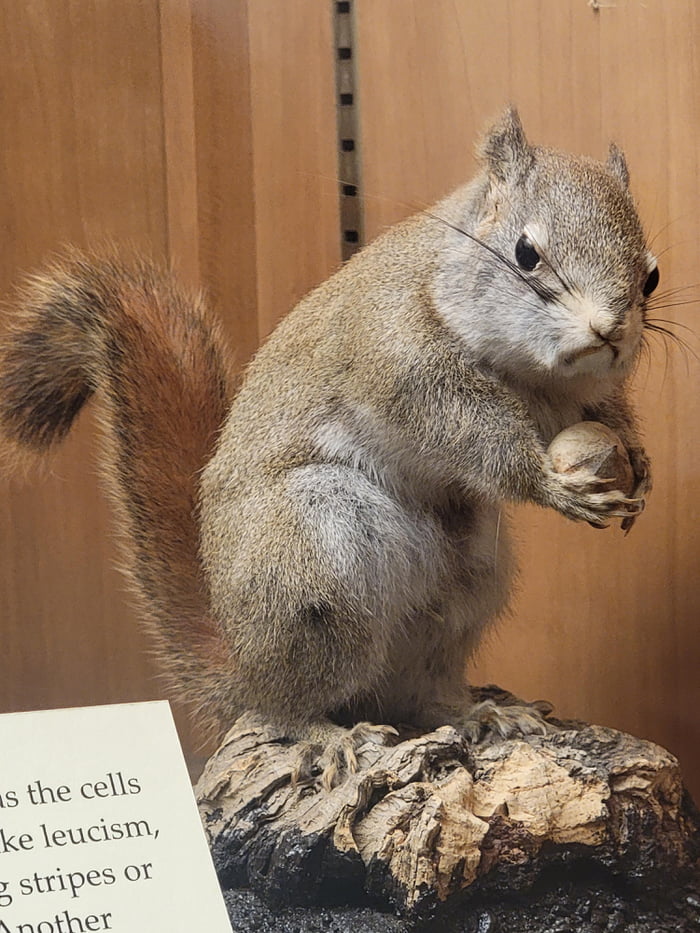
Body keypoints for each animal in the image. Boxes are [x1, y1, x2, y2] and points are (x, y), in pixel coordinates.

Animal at [0, 109, 655, 786]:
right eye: (526, 255)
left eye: (651, 277)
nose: (610, 331)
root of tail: (242, 662)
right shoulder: (404, 361)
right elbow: (471, 432)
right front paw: (553, 485)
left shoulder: (580, 394)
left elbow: (611, 413)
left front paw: (639, 462)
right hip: (316, 563)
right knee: (290, 703)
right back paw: (326, 734)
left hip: (466, 585)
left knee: (415, 690)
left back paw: (476, 712)